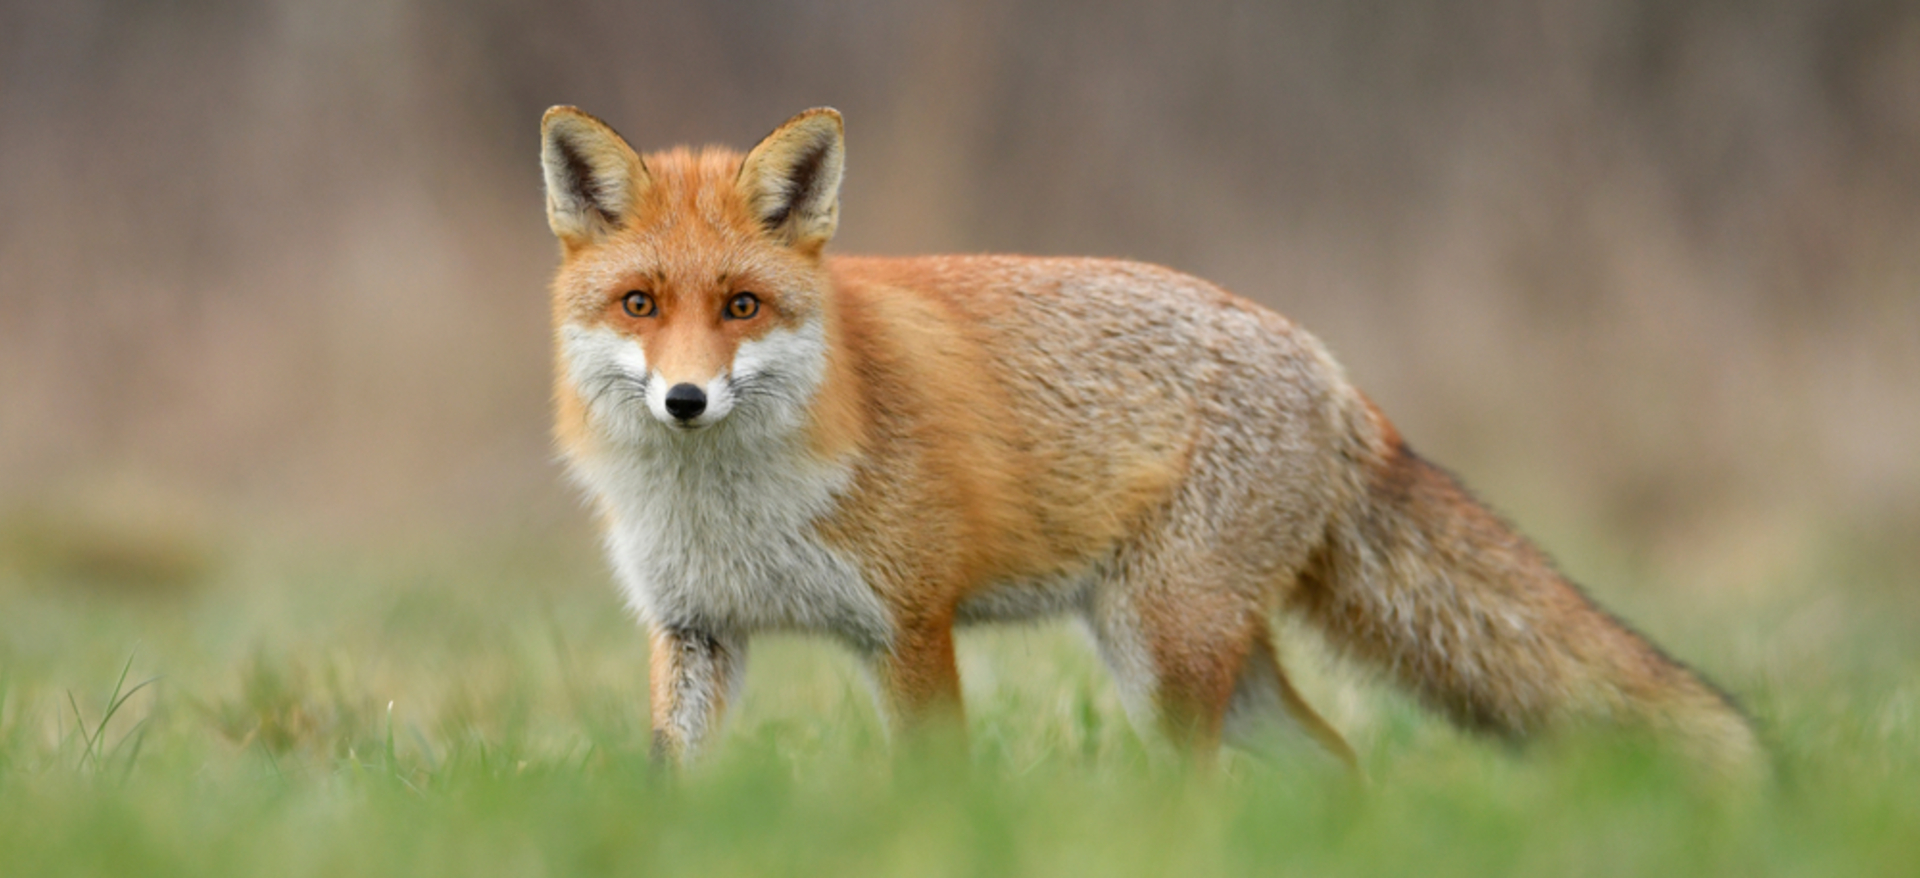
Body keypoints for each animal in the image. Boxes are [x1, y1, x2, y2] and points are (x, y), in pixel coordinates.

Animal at [539, 104, 1762, 774]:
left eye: (741, 306)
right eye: (641, 305)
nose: (685, 400)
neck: (727, 502)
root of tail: (1330, 369)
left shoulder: (912, 626)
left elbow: (936, 785)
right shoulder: (696, 631)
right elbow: (667, 782)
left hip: (1160, 650)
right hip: (1191, 649)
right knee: (1336, 762)